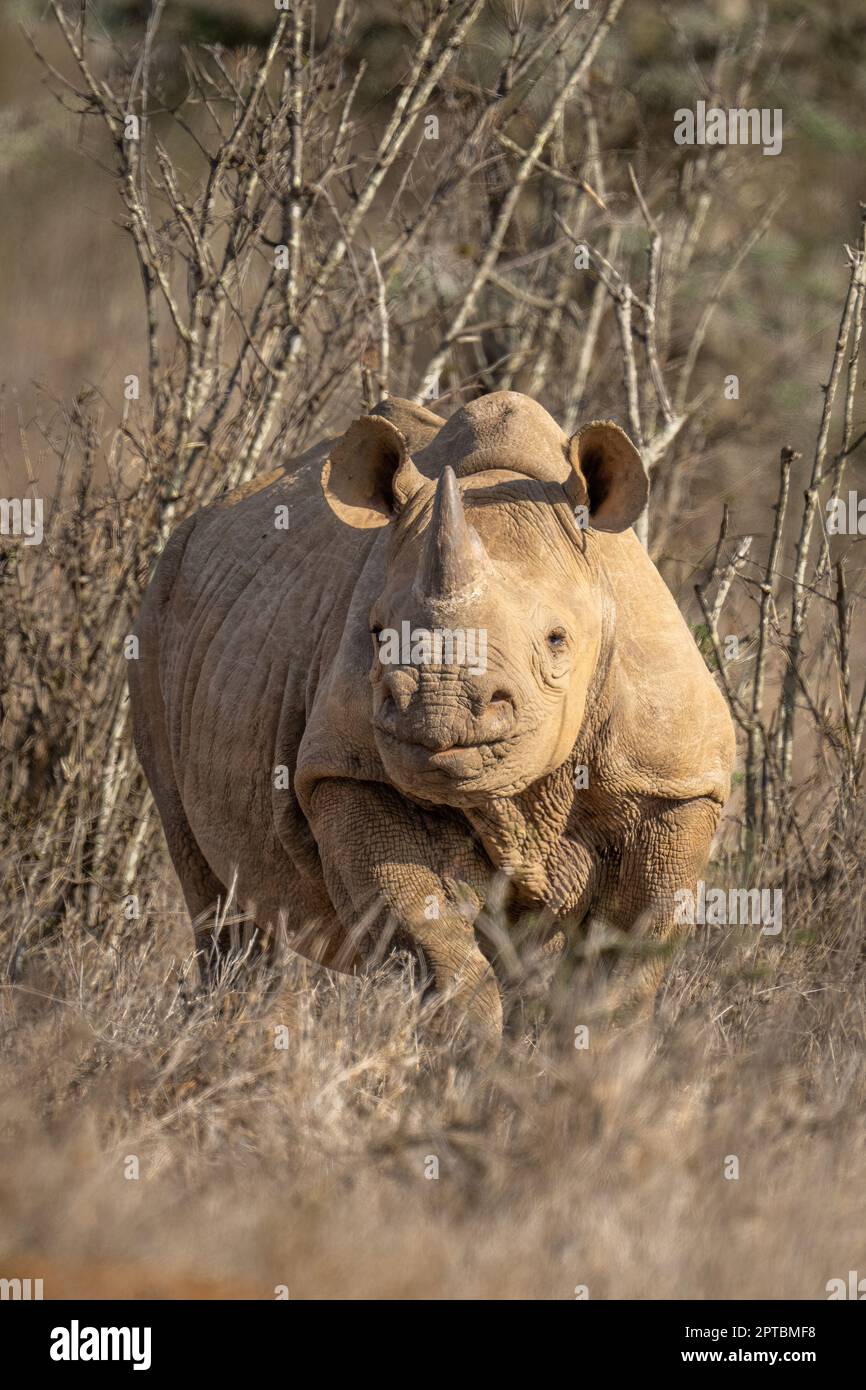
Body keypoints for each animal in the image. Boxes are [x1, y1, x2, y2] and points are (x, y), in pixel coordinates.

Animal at [129, 391, 735, 1046]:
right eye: (376, 634)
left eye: (556, 640)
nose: (437, 711)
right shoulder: (346, 769)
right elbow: (431, 940)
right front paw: (468, 1060)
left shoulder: (671, 780)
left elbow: (623, 964)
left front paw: (591, 1061)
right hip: (156, 614)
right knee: (221, 901)